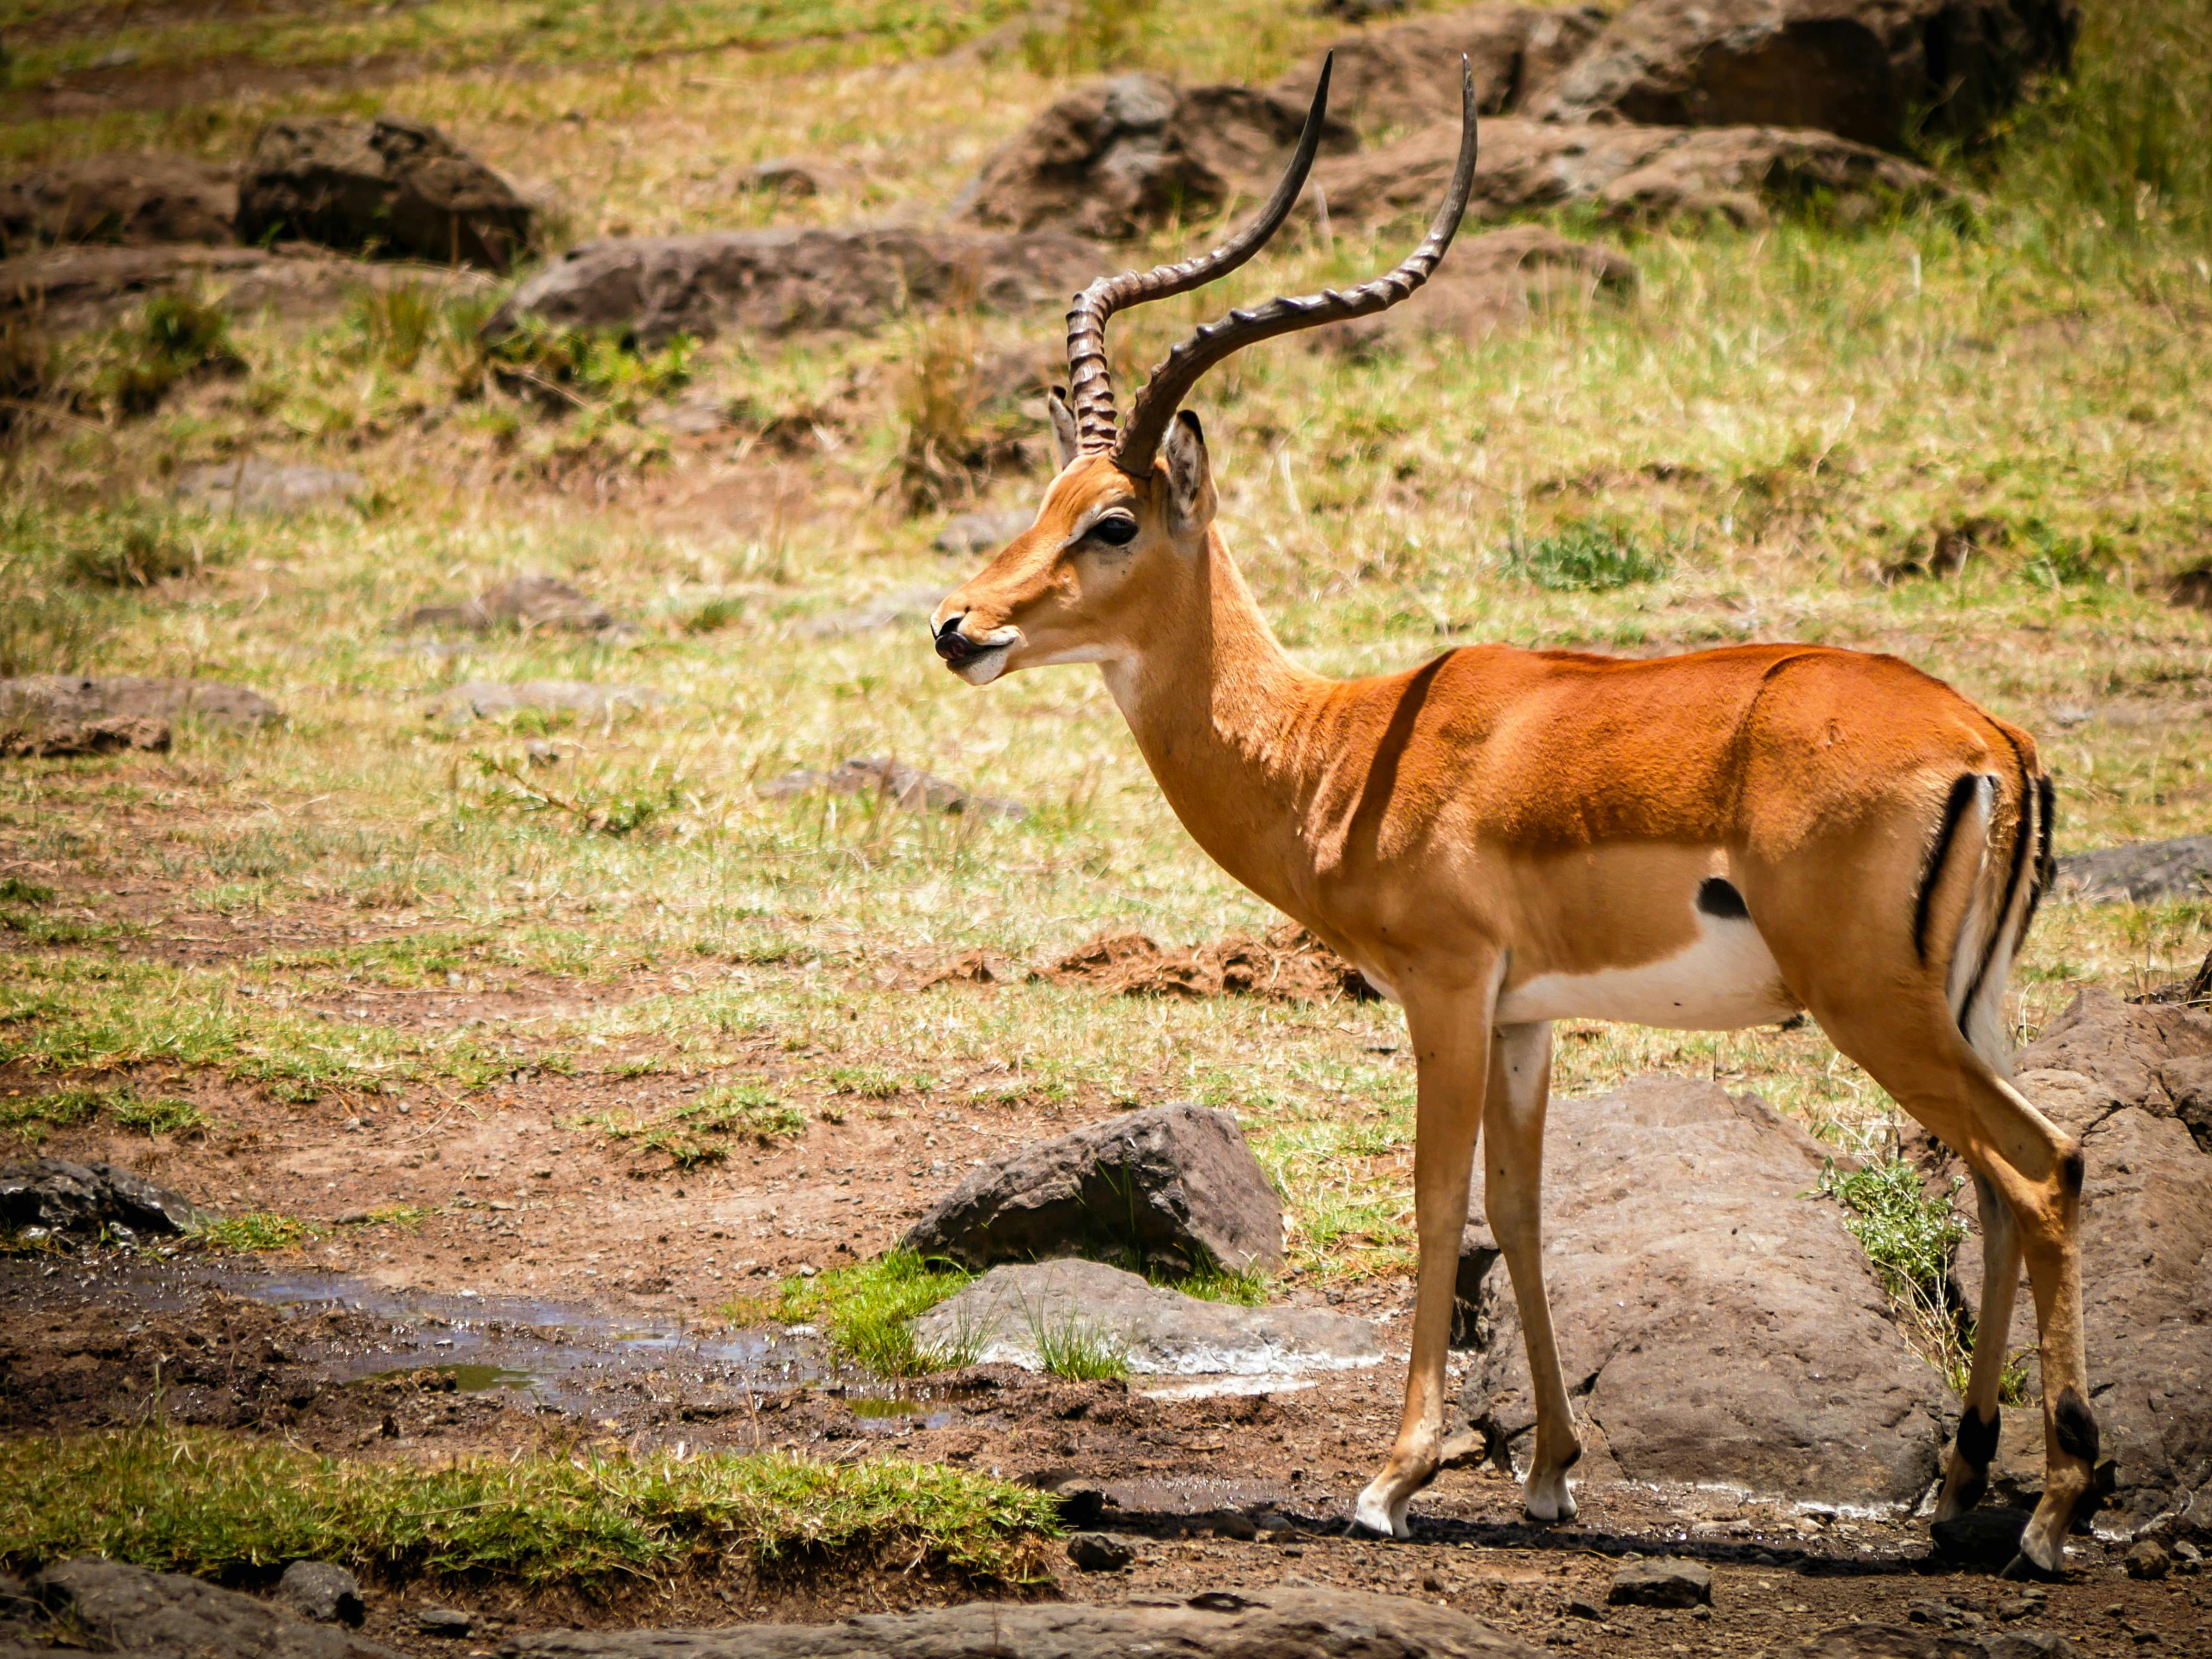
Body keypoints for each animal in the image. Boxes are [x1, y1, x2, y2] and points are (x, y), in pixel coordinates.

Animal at [928, 55, 2095, 1574]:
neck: (1339, 749)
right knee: (2003, 1187)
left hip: (1871, 1006)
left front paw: (1391, 1478)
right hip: (1965, 1004)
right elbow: (1525, 1216)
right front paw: (1546, 1473)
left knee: (2042, 1171)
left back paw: (2056, 1510)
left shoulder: (1442, 990)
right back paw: (1955, 1490)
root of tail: (1989, 739)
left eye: (1112, 522)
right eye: (1047, 497)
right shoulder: (1525, 1016)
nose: (960, 628)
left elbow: (1434, 1203)